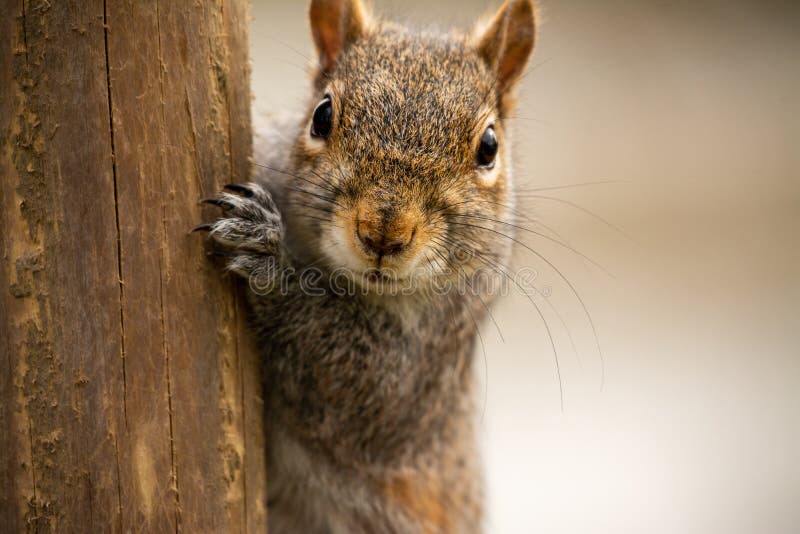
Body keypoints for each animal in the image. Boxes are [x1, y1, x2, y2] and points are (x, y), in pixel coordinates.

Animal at [196, 0, 537, 531]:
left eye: (489, 147)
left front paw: (271, 262)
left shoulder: (421, 375)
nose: (383, 233)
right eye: (322, 115)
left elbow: (358, 386)